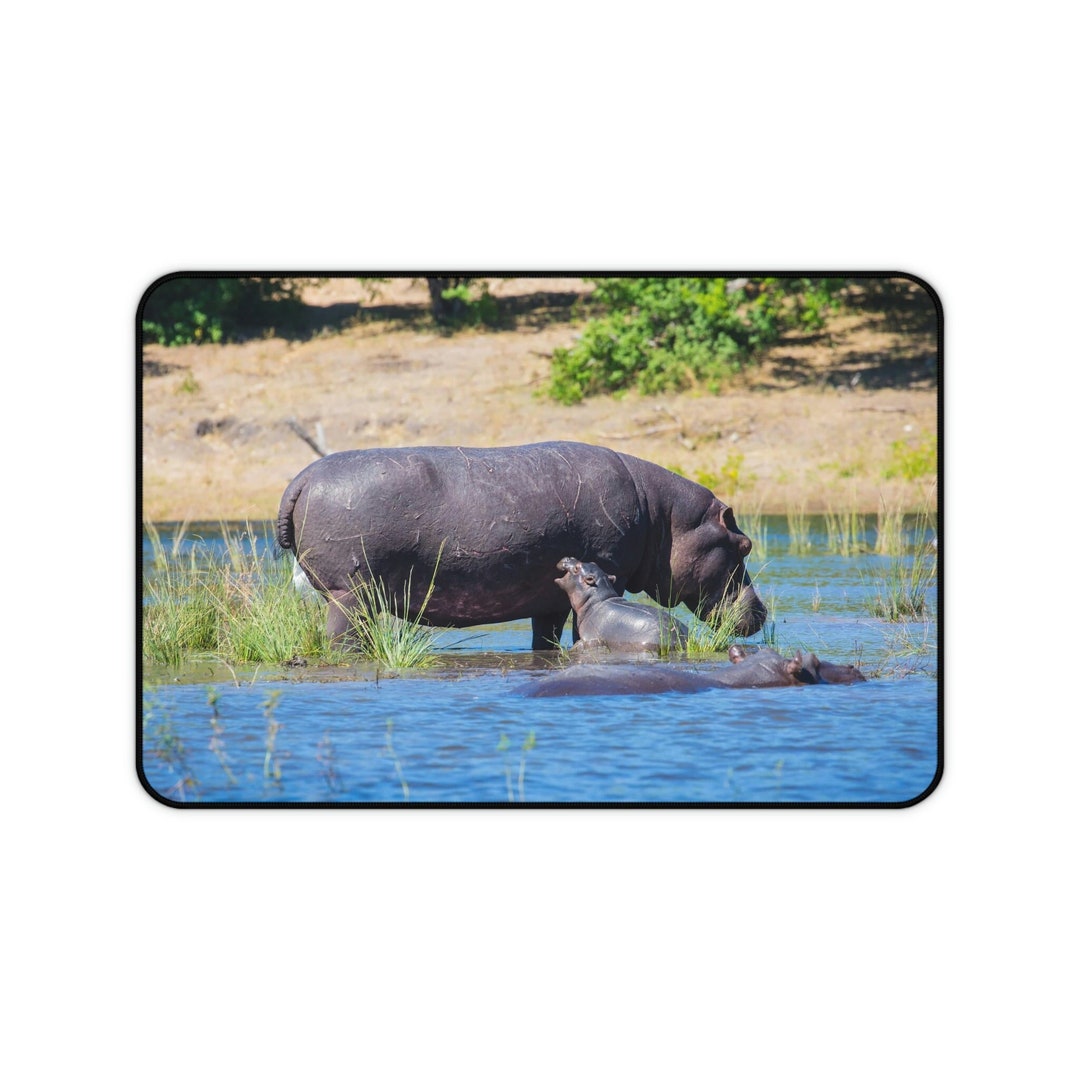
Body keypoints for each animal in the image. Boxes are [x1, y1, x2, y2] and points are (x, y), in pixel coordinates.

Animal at [555, 556, 690, 653]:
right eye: (593, 562)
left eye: (577, 568)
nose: (569, 558)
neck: (597, 599)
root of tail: (682, 639)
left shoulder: (589, 639)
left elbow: (578, 645)